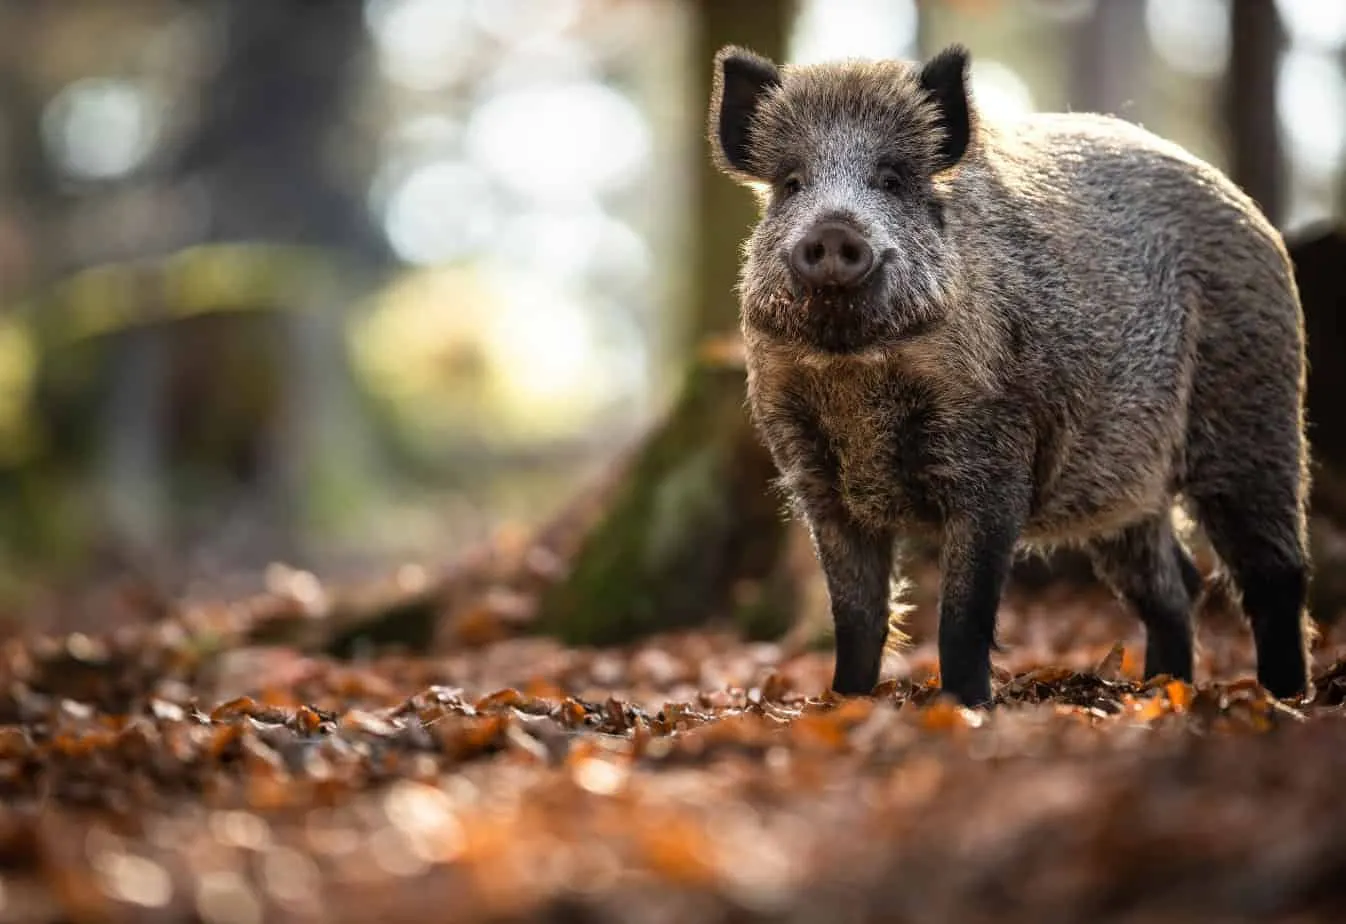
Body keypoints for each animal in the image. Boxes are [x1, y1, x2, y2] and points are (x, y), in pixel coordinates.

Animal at [707, 43, 1312, 707]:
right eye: (791, 184)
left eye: (892, 180)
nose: (834, 229)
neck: (857, 374)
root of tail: (1253, 214)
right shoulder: (815, 480)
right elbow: (858, 618)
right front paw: (846, 704)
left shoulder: (994, 460)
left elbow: (963, 615)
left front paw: (967, 708)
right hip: (1121, 483)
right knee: (1174, 582)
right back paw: (1161, 689)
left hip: (1256, 412)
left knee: (1273, 574)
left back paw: (1284, 699)